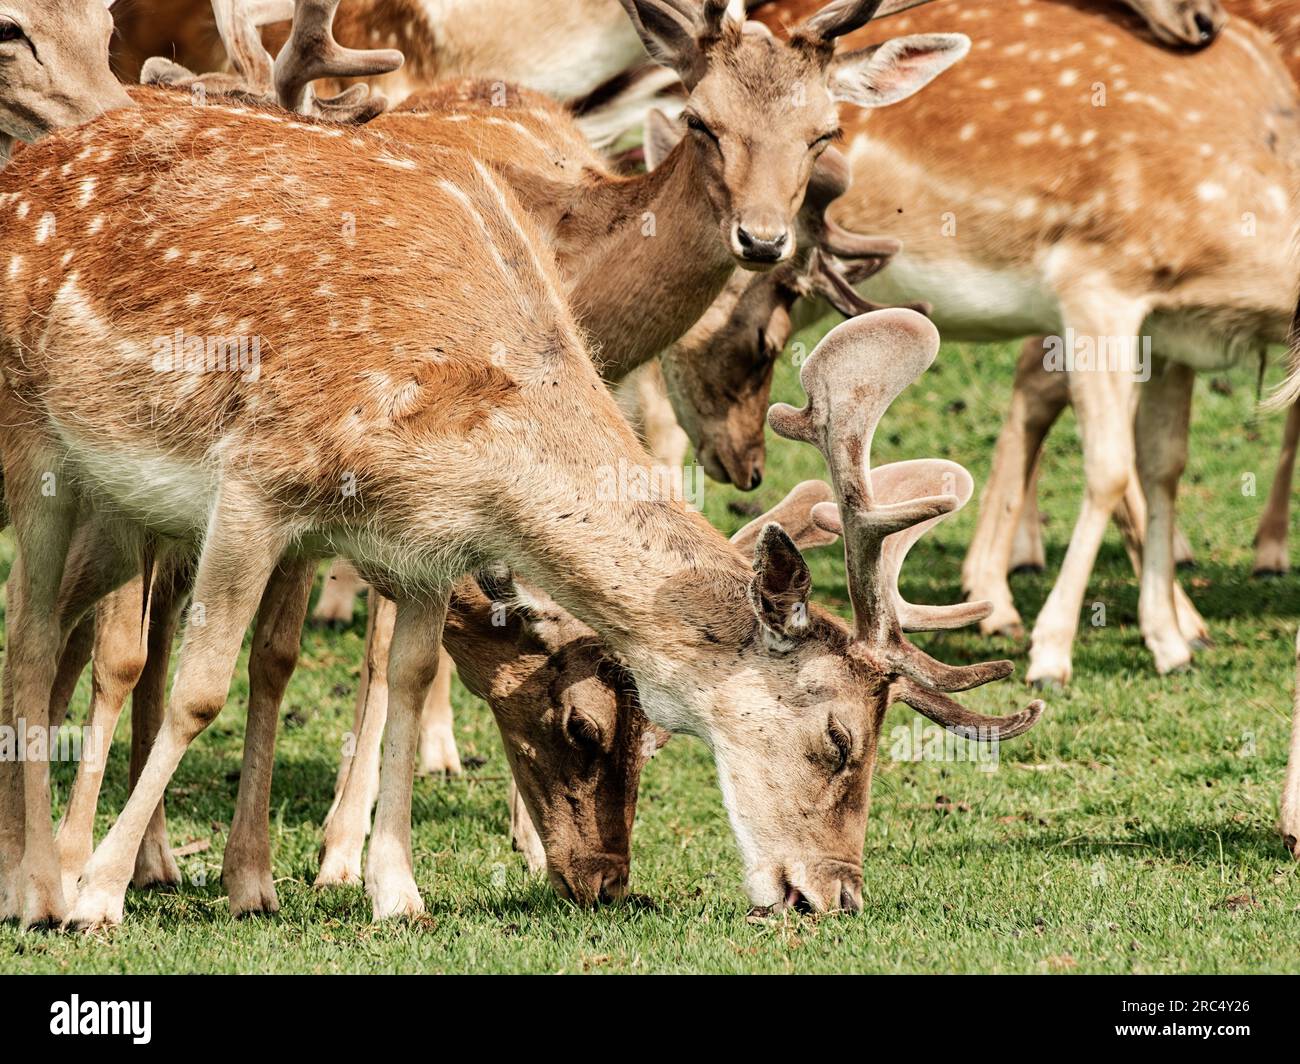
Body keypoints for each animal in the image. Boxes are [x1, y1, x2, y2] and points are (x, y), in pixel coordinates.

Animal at [0, 39, 1043, 929]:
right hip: (41, 453)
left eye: (650, 738)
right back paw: (45, 890)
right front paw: (102, 896)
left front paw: (396, 893)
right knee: (37, 643)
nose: (838, 894)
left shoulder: (422, 541)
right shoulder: (259, 481)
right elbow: (200, 691)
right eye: (839, 740)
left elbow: (410, 679)